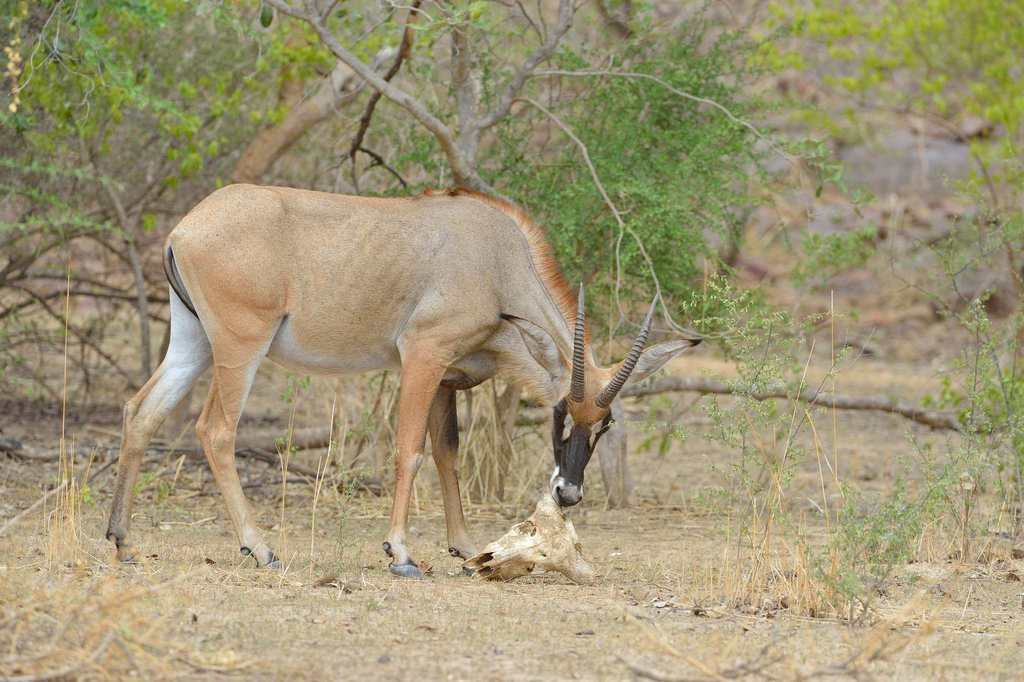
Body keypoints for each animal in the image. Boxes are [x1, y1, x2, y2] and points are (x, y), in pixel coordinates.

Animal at [105, 184, 700, 577]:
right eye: (559, 410)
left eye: (604, 424)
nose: (568, 492)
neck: (495, 260)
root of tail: (186, 227)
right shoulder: (421, 356)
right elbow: (410, 449)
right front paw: (401, 552)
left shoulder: (446, 376)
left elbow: (447, 452)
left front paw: (463, 545)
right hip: (239, 346)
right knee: (216, 430)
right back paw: (261, 548)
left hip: (192, 341)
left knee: (141, 411)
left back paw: (122, 541)